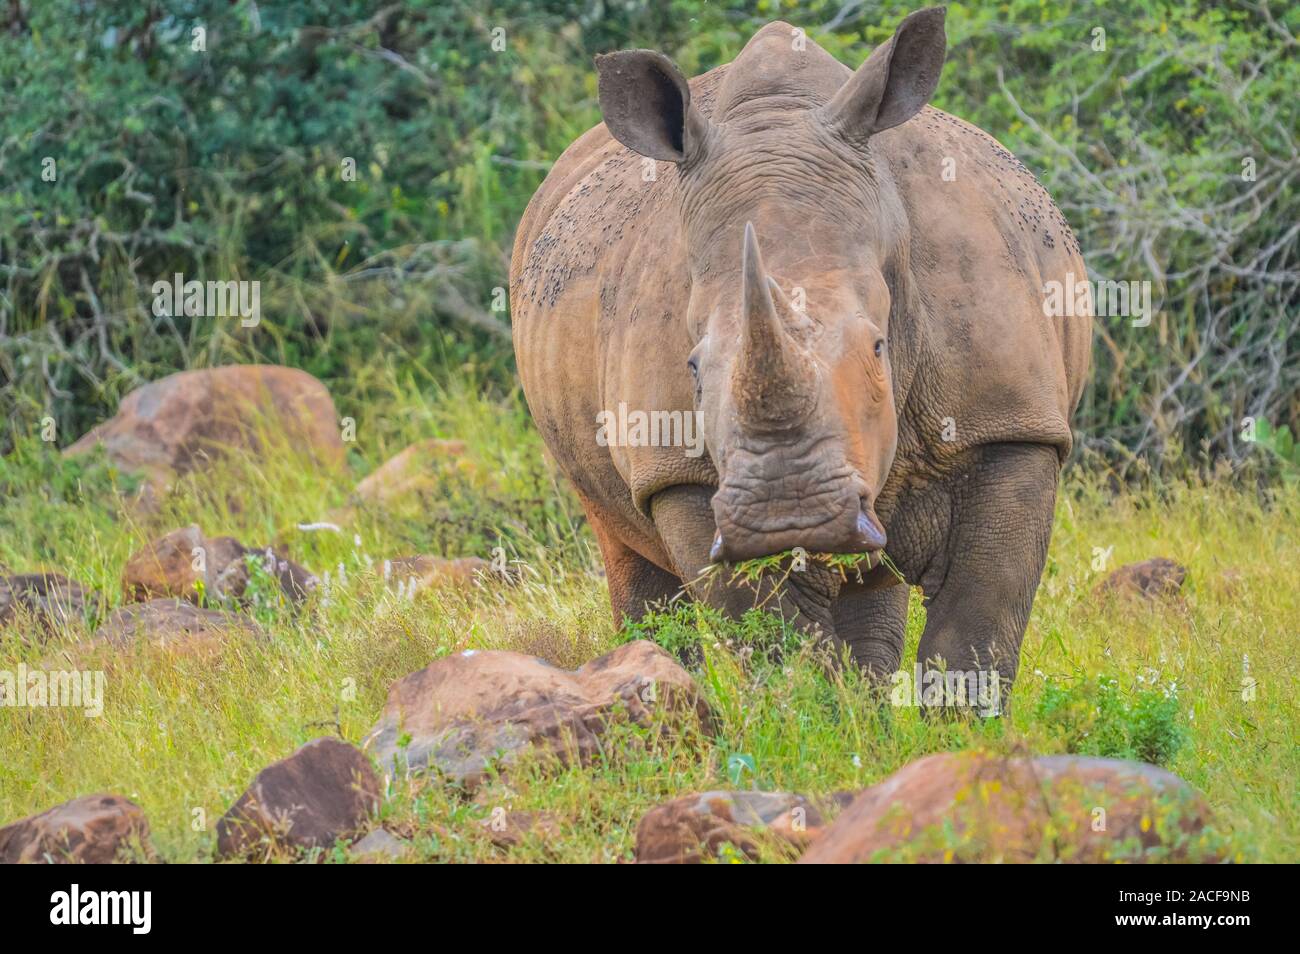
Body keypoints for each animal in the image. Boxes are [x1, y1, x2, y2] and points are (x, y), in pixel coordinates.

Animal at [510, 7, 1091, 706]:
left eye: (878, 345)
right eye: (693, 367)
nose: (788, 514)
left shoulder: (1010, 425)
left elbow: (974, 636)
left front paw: (960, 732)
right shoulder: (680, 476)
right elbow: (784, 651)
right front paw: (827, 726)